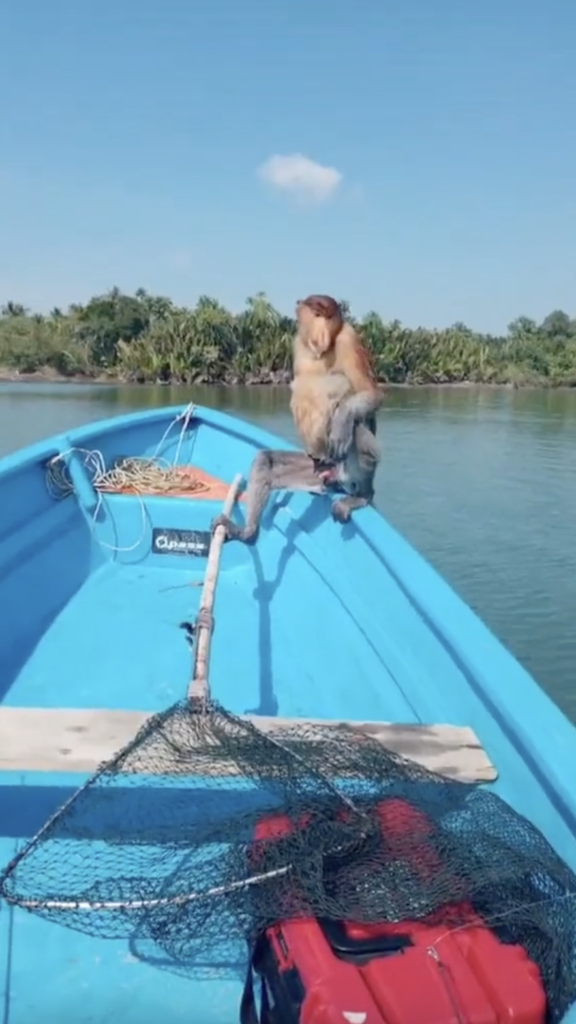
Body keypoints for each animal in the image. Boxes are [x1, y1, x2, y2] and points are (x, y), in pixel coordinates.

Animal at [211, 295, 383, 544]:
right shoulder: (297, 343)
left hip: (342, 468)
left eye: (325, 318)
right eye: (307, 320)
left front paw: (341, 421)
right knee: (266, 460)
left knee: (356, 425)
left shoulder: (348, 337)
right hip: (315, 467)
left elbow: (370, 395)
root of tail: (333, 474)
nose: (320, 337)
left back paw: (363, 494)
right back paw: (248, 532)